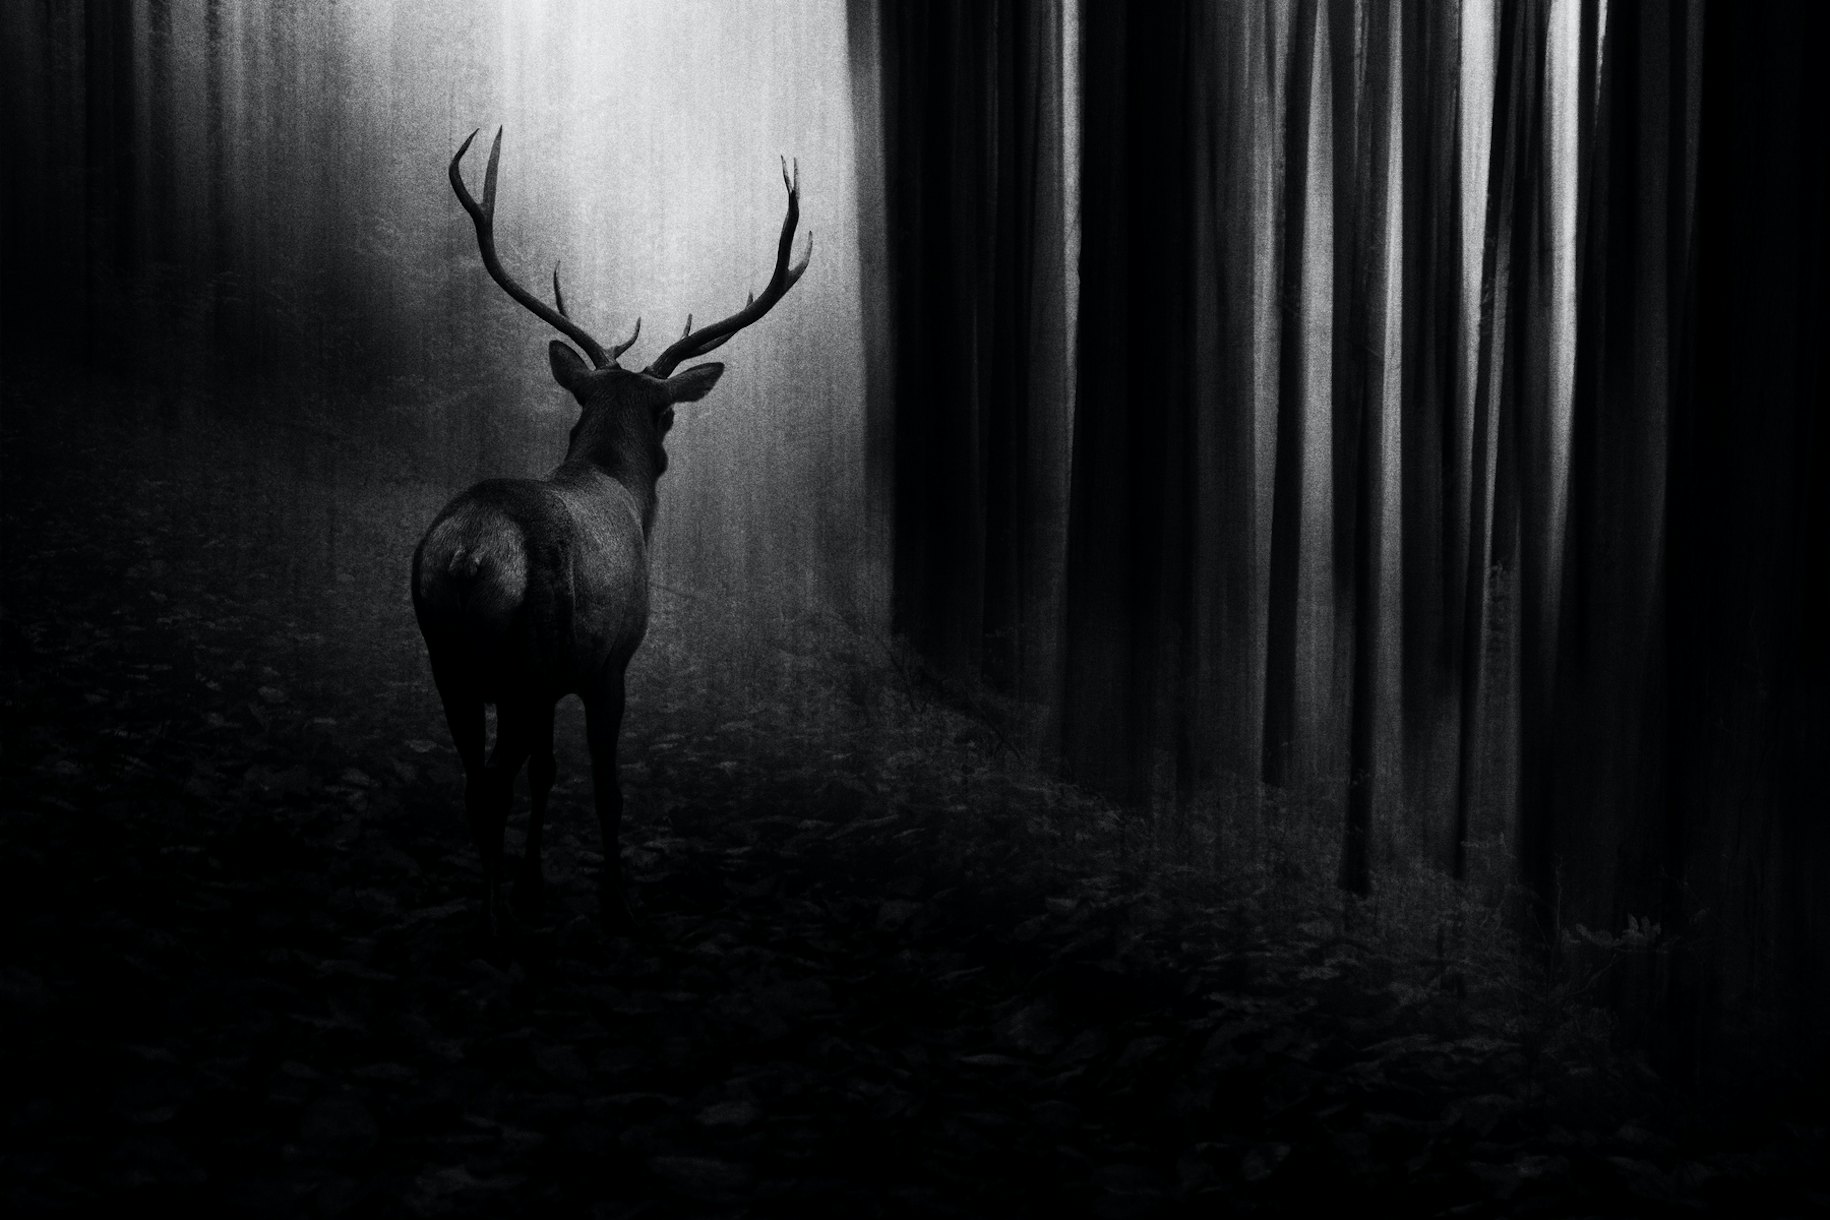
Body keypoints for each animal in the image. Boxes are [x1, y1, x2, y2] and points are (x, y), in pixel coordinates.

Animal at [412, 128, 810, 946]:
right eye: (668, 413)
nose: (665, 447)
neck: (615, 487)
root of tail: (468, 555)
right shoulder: (609, 664)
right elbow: (605, 784)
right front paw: (619, 903)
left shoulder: (559, 680)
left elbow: (549, 773)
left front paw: (536, 883)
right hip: (525, 659)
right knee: (491, 784)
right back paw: (494, 924)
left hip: (449, 659)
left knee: (475, 778)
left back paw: (499, 903)